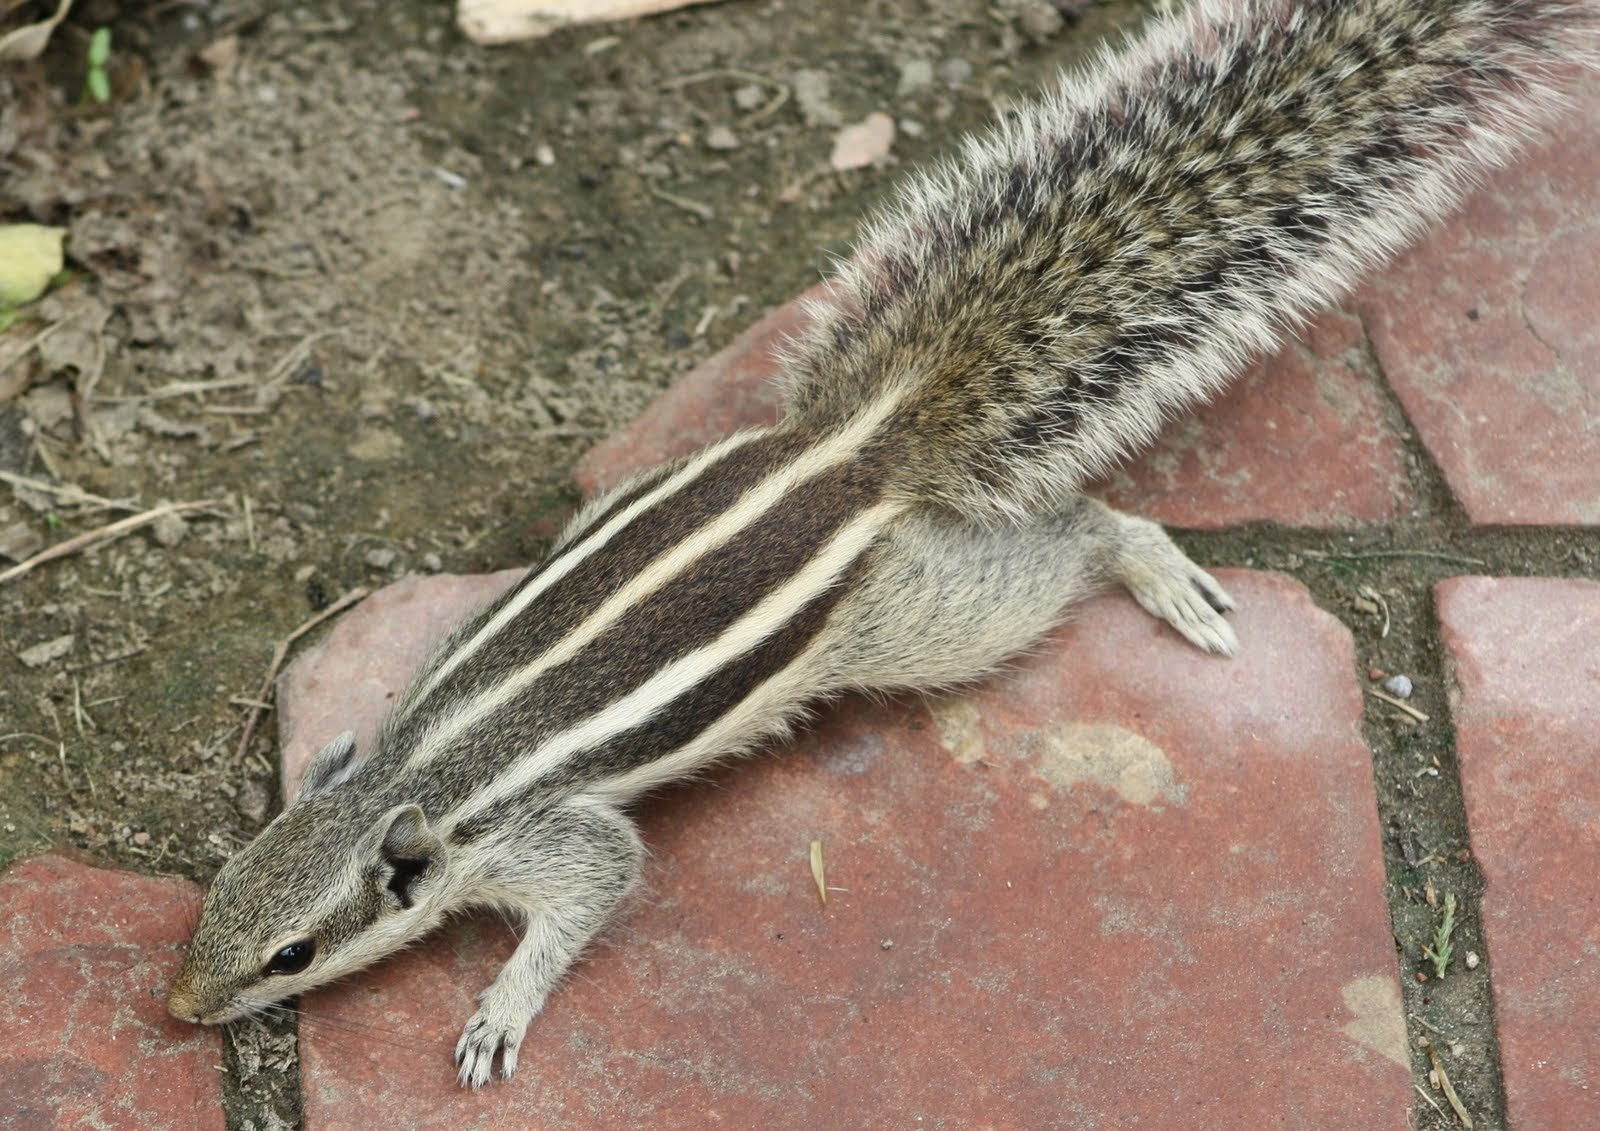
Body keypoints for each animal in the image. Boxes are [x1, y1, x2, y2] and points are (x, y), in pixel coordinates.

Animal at [168, 0, 1594, 1088]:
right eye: (215, 896)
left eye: (293, 955)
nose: (176, 1008)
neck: (422, 770)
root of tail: (853, 452)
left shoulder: (548, 840)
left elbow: (593, 889)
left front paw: (501, 1011)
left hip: (919, 623)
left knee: (1068, 540)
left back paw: (1148, 563)